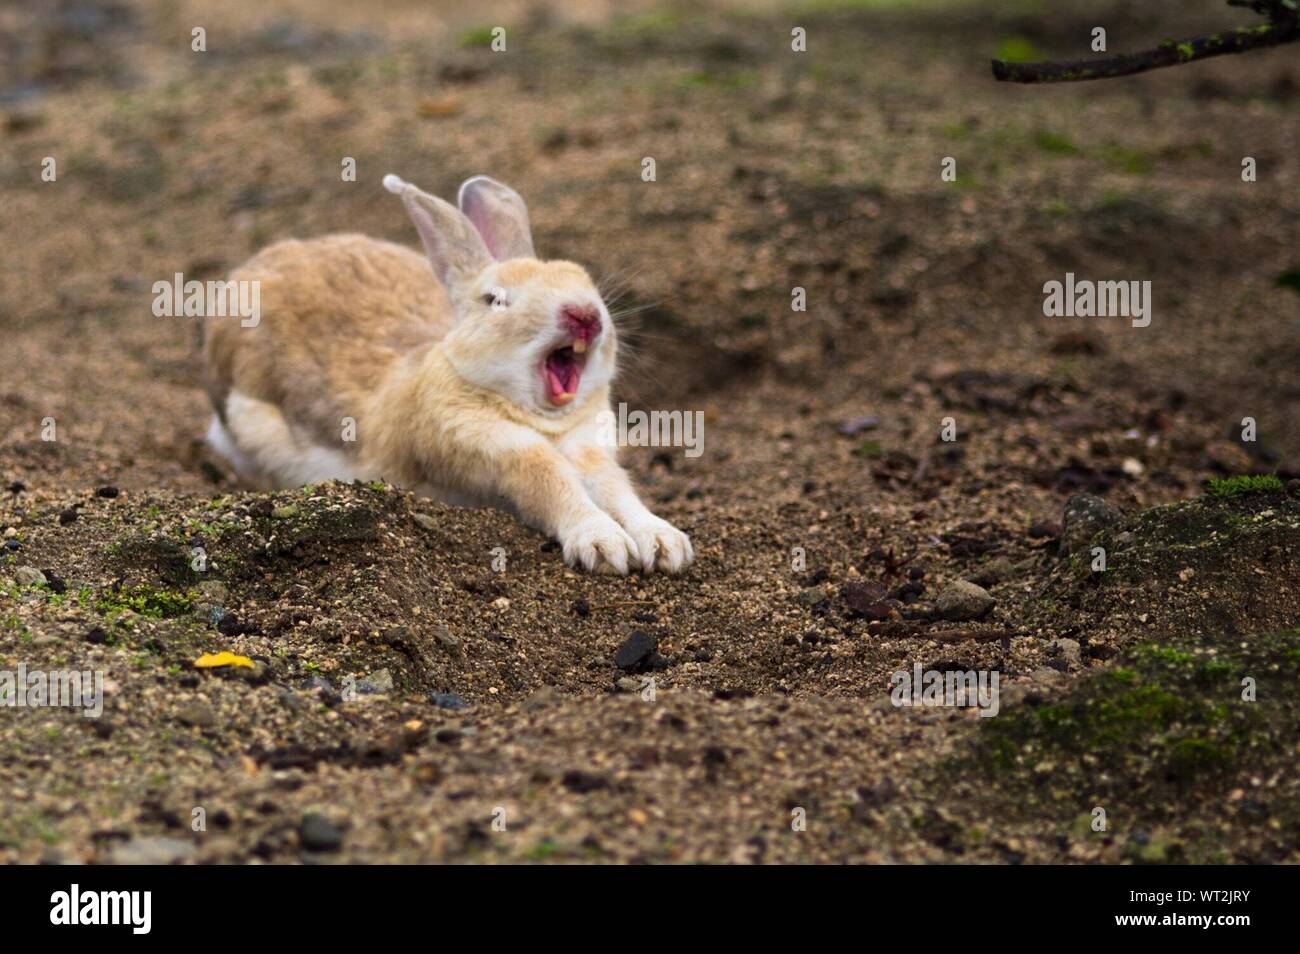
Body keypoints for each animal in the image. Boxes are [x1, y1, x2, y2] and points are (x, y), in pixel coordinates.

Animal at [202, 173, 693, 575]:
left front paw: (665, 544)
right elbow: (550, 482)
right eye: (496, 300)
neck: (538, 418)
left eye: (584, 280)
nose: (585, 315)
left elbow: (615, 488)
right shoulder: (496, 451)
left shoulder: (589, 448)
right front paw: (604, 545)